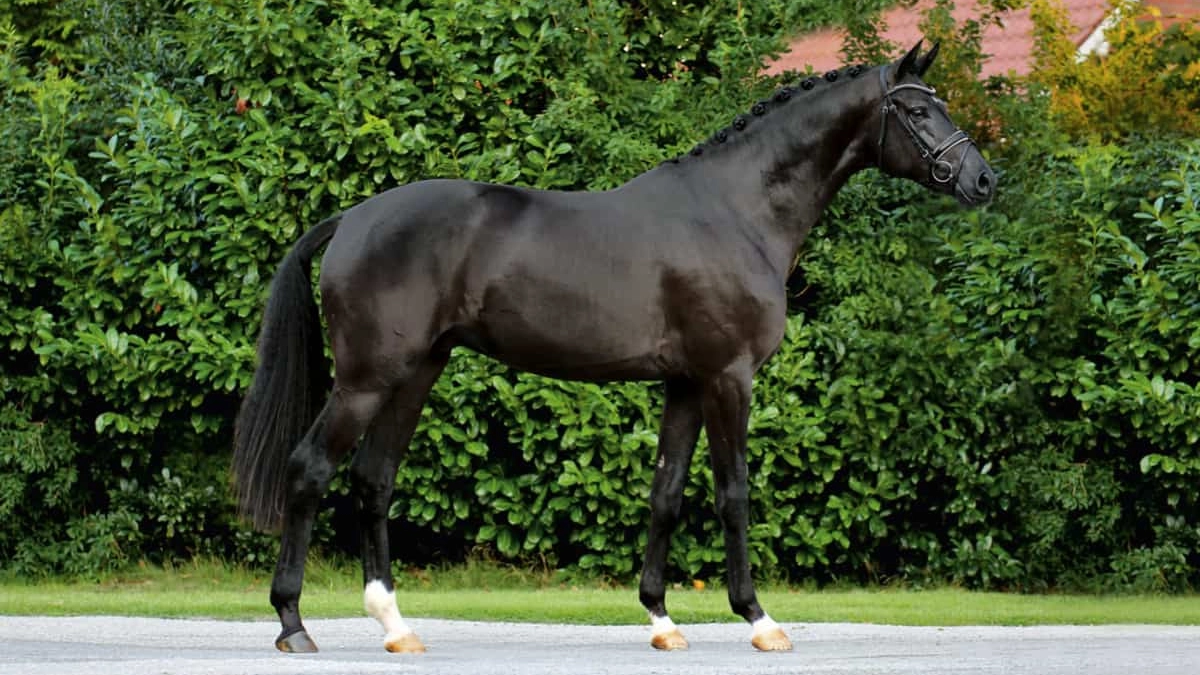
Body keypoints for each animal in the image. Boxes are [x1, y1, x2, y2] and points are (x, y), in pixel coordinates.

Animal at [233, 41, 994, 655]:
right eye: (917, 111)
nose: (983, 180)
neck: (738, 211)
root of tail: (352, 219)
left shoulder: (685, 383)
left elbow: (666, 494)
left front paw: (662, 619)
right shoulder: (729, 378)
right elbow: (733, 493)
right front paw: (759, 618)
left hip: (417, 371)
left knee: (374, 479)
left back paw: (397, 627)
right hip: (366, 379)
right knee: (309, 470)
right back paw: (293, 624)